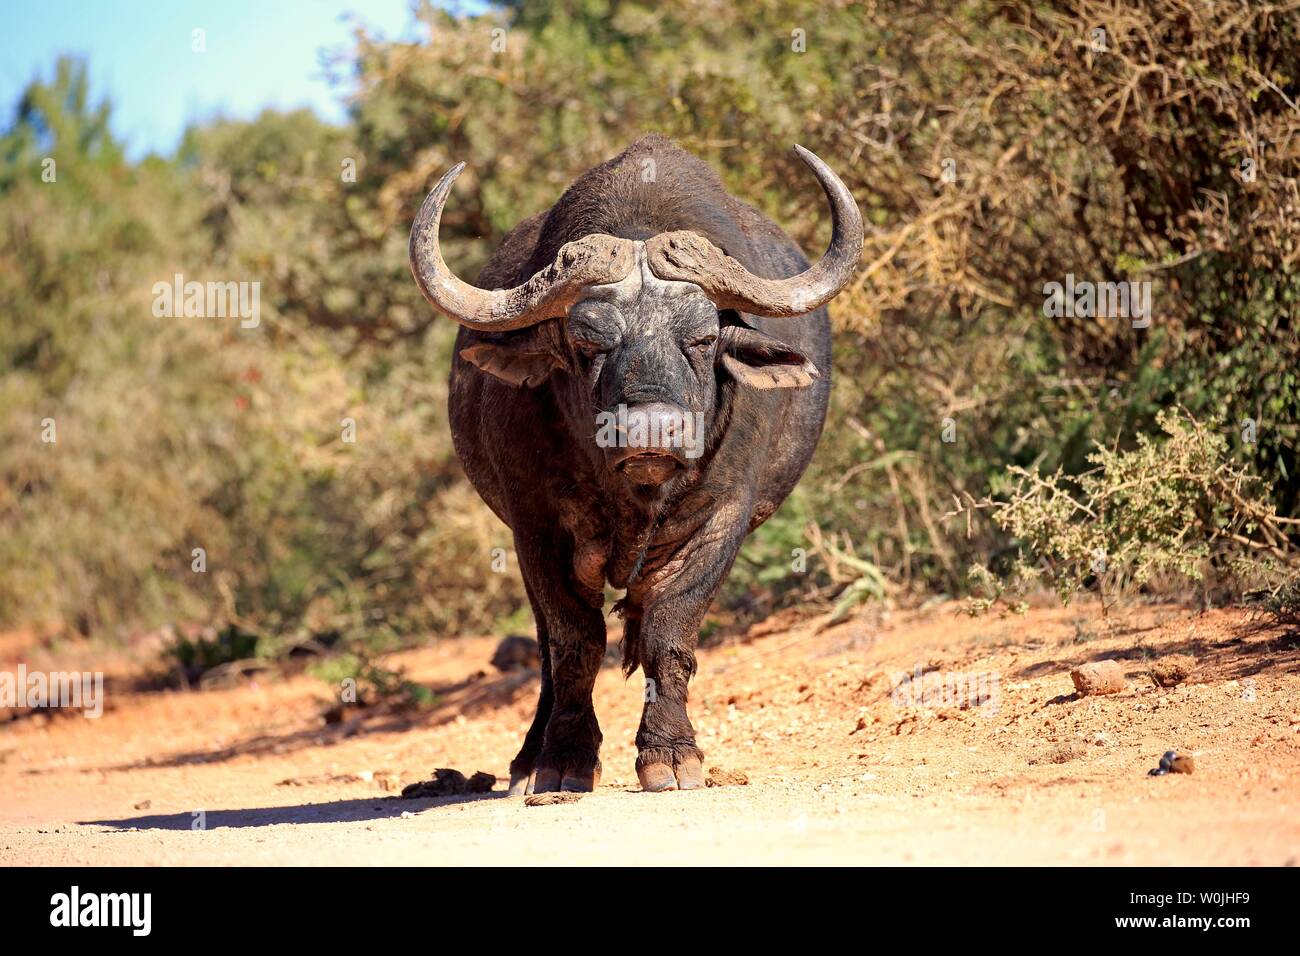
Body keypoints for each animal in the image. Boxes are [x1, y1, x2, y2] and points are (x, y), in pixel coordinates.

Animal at [409, 135, 862, 793]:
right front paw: (562, 759)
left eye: (703, 338)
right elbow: (574, 644)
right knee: (545, 649)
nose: (650, 432)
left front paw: (670, 754)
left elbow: (668, 633)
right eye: (586, 342)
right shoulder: (535, 526)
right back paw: (527, 758)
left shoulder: (721, 521)